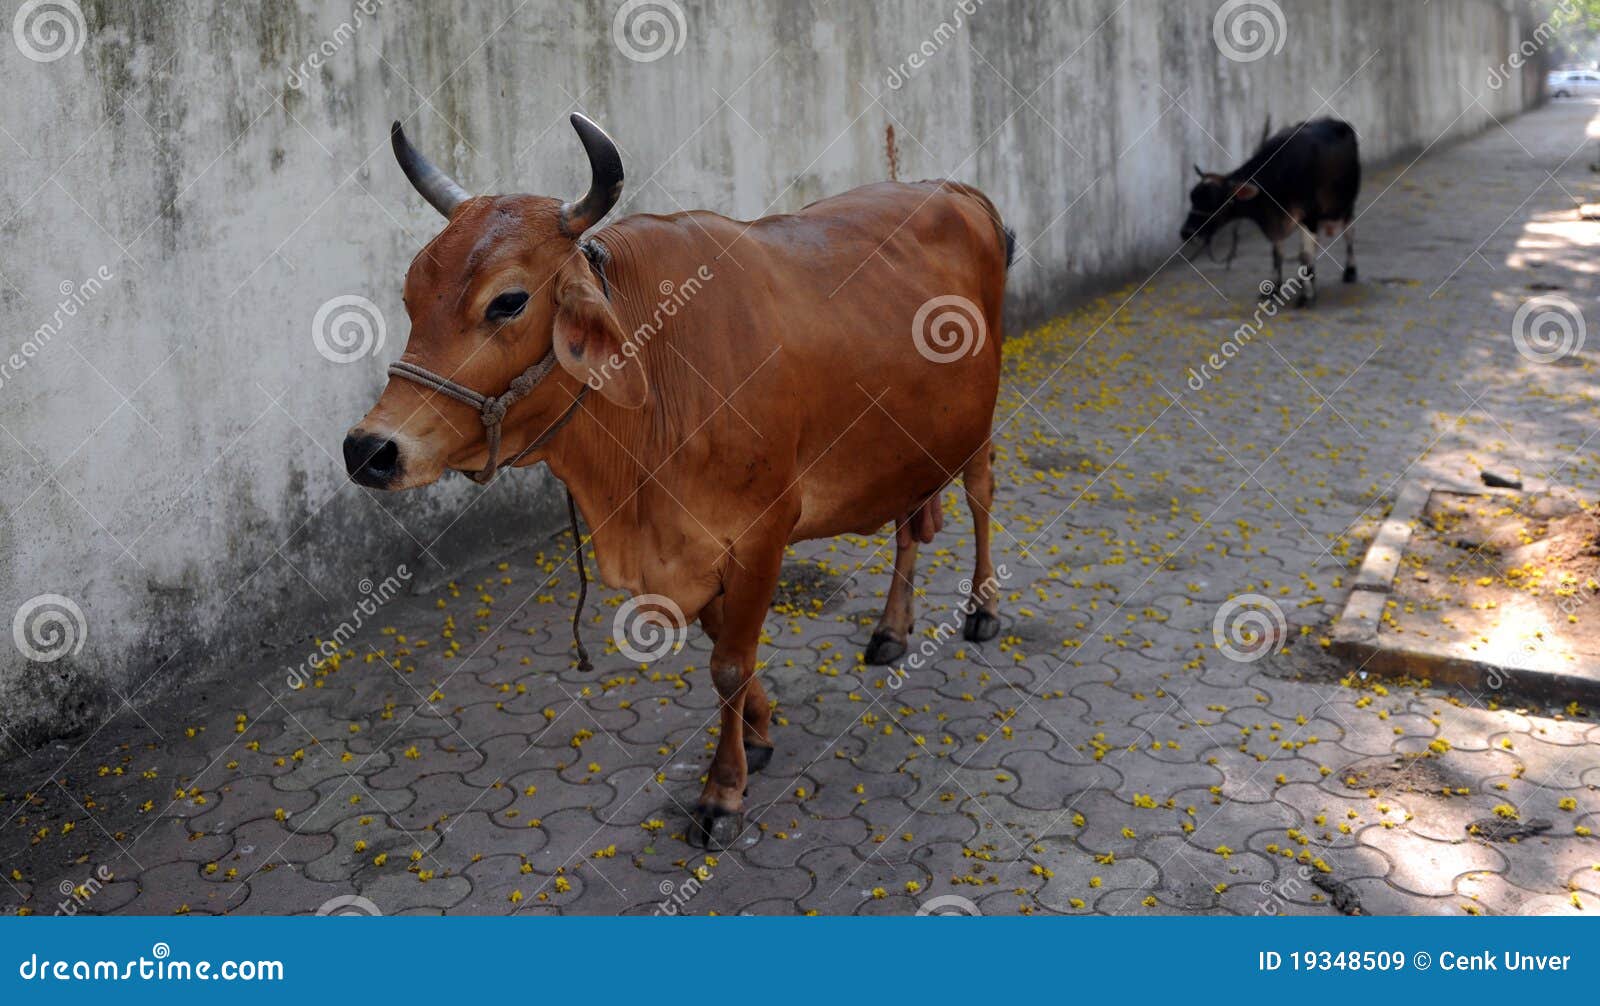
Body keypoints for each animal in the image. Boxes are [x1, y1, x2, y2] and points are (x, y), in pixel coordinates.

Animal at [343, 114, 1013, 847]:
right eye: (410, 295)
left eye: (508, 301)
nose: (370, 450)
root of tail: (954, 190)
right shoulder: (694, 550)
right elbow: (723, 647)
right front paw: (759, 732)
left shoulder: (761, 535)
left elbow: (730, 663)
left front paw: (724, 790)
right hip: (908, 443)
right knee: (908, 525)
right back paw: (892, 629)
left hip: (980, 425)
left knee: (980, 498)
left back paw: (982, 609)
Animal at [1180, 117, 1360, 307]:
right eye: (1192, 197)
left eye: (1216, 203)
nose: (1186, 232)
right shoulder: (1275, 221)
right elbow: (1277, 254)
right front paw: (1273, 288)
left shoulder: (1309, 217)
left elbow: (1304, 255)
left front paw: (1307, 296)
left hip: (1347, 206)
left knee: (1348, 234)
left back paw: (1350, 271)